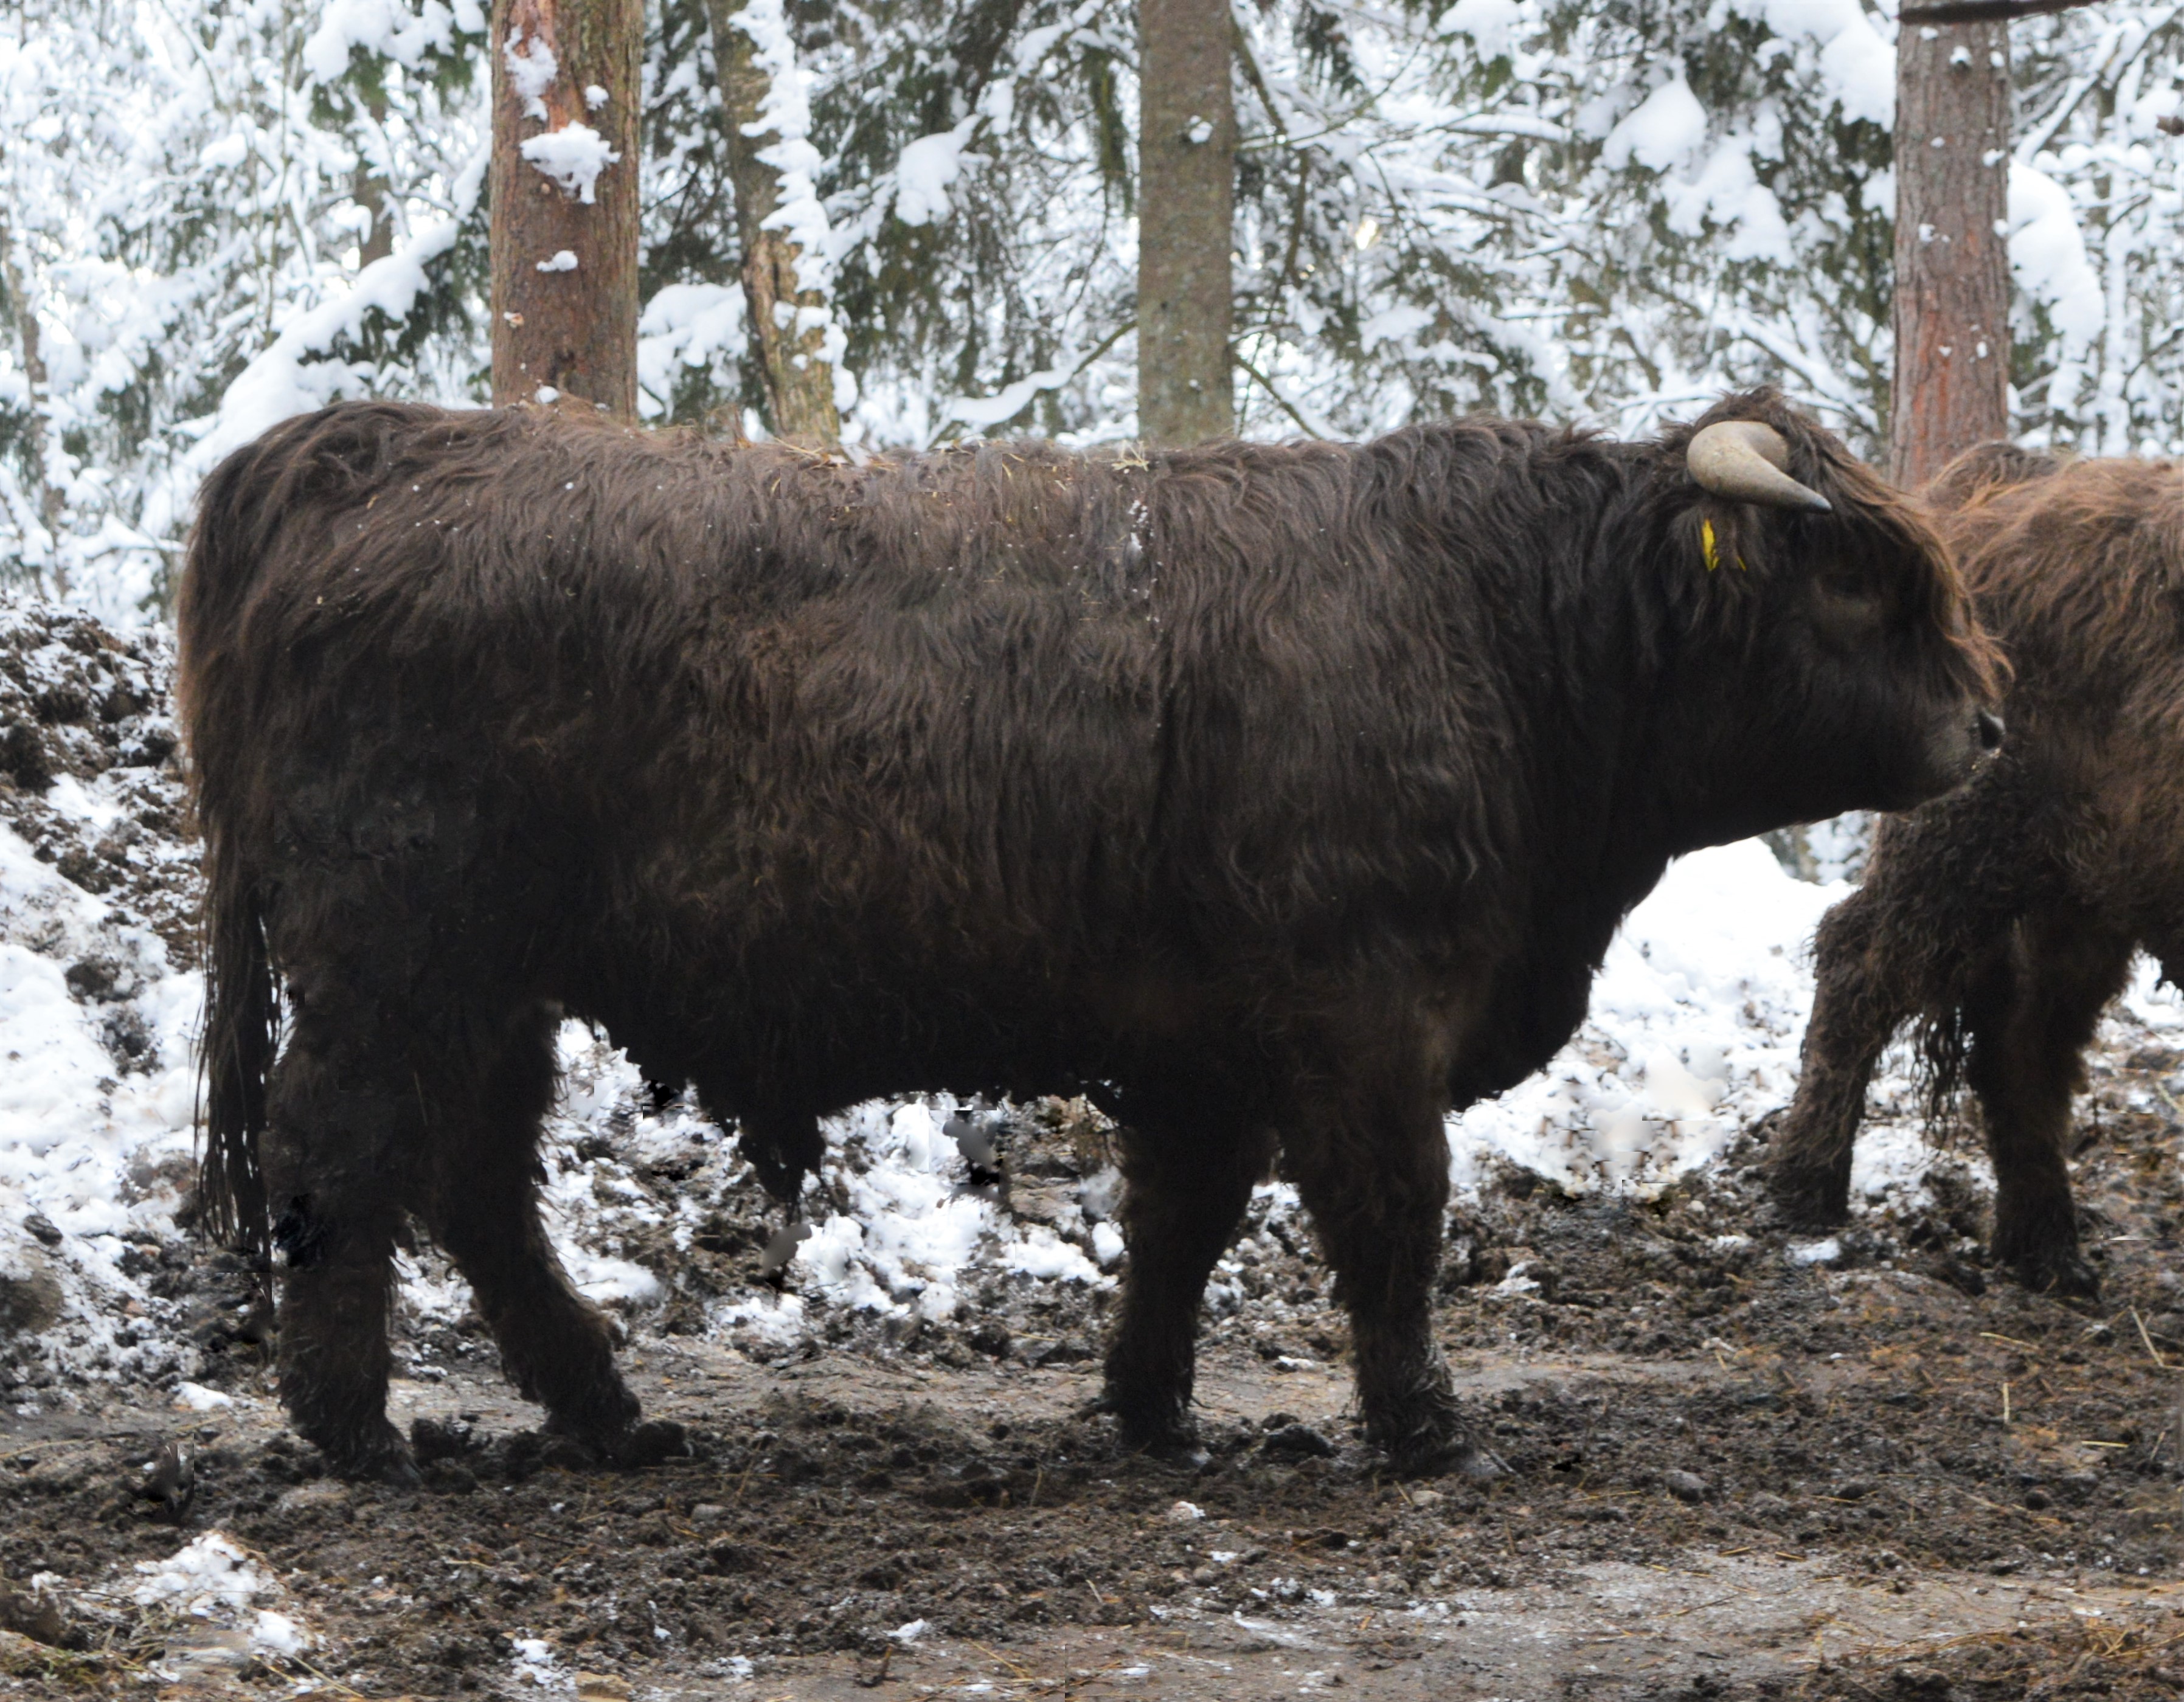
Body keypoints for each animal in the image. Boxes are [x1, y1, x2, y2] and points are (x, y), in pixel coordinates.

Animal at [181, 390, 2000, 1482]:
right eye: (1854, 582)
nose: (1988, 720)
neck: (1504, 631)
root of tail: (370, 441)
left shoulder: (1207, 1038)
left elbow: (1179, 1221)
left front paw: (1150, 1407)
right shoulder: (1364, 1014)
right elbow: (1391, 1216)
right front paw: (1421, 1424)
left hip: (495, 980)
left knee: (472, 1174)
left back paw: (605, 1406)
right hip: (401, 956)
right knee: (342, 1152)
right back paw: (356, 1427)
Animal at [1769, 444, 2183, 1297]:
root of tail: (2008, 483)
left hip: (2086, 893)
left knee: (2025, 1042)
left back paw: (2049, 1255)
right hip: (1965, 853)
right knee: (1860, 966)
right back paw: (1806, 1198)